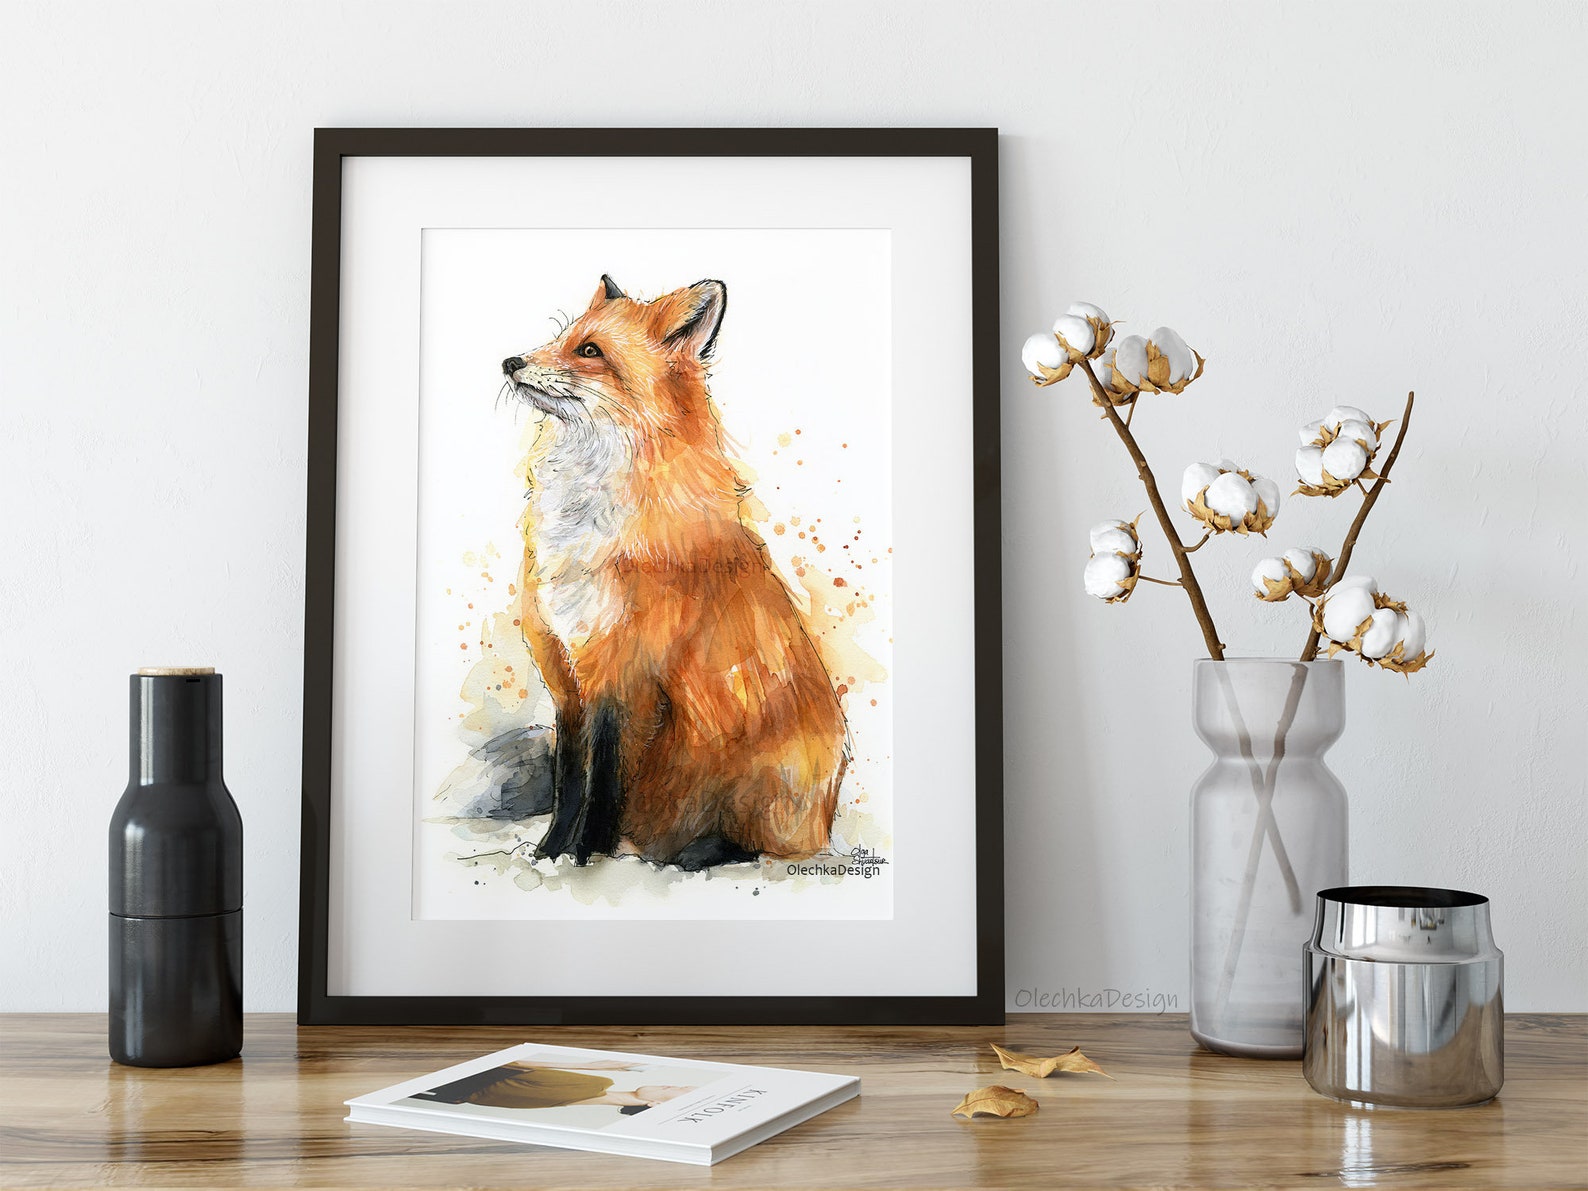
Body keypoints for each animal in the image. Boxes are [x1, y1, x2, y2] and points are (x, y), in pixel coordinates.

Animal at [500, 275, 849, 871]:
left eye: (589, 351)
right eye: (563, 339)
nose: (509, 361)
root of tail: (823, 823)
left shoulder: (625, 677)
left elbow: (603, 785)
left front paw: (585, 861)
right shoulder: (567, 678)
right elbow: (569, 784)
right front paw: (550, 856)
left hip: (775, 779)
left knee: (763, 848)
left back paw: (695, 854)